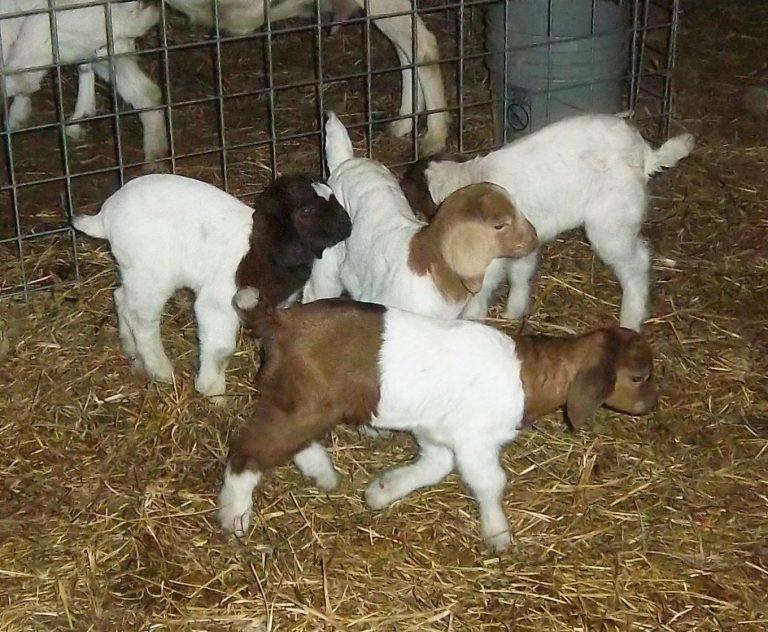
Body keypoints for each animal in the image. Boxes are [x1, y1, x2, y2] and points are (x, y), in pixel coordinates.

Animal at [72, 173, 350, 400]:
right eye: (306, 211)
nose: (347, 226)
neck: (262, 249)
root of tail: (104, 217)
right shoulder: (218, 302)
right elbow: (221, 350)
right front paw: (212, 392)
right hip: (151, 274)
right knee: (141, 318)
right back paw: (161, 371)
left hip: (134, 272)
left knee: (121, 297)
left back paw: (133, 353)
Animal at [217, 294, 659, 552]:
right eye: (638, 376)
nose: (651, 406)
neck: (529, 374)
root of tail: (280, 322)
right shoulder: (475, 440)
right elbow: (490, 483)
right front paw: (499, 535)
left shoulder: (438, 433)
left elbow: (436, 466)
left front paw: (381, 492)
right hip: (307, 402)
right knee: (250, 449)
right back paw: (234, 517)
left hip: (304, 402)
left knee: (286, 441)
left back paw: (322, 474)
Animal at [400, 114, 695, 330]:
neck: (468, 180)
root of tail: (645, 155)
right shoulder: (525, 238)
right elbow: (521, 273)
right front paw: (514, 311)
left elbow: (482, 285)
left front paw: (472, 317)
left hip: (612, 221)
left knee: (637, 263)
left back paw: (631, 320)